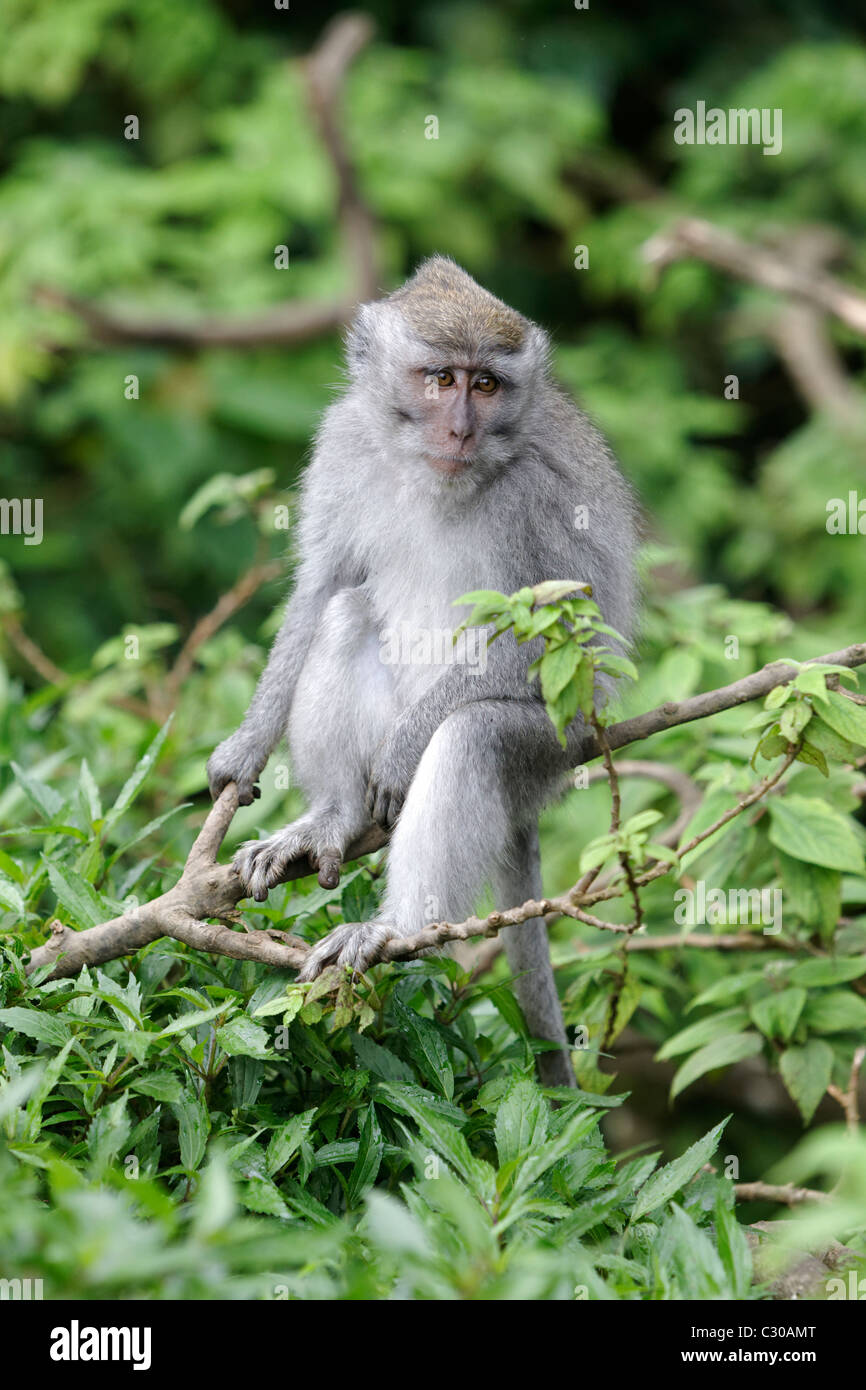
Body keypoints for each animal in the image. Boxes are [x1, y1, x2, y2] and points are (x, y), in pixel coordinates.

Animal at [207, 256, 638, 1088]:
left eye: (488, 385)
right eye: (441, 379)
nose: (461, 427)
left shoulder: (539, 495)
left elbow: (557, 638)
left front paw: (409, 750)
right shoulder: (344, 444)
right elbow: (321, 585)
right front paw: (246, 748)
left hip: (557, 752)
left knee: (475, 733)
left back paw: (401, 923)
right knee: (346, 614)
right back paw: (336, 815)